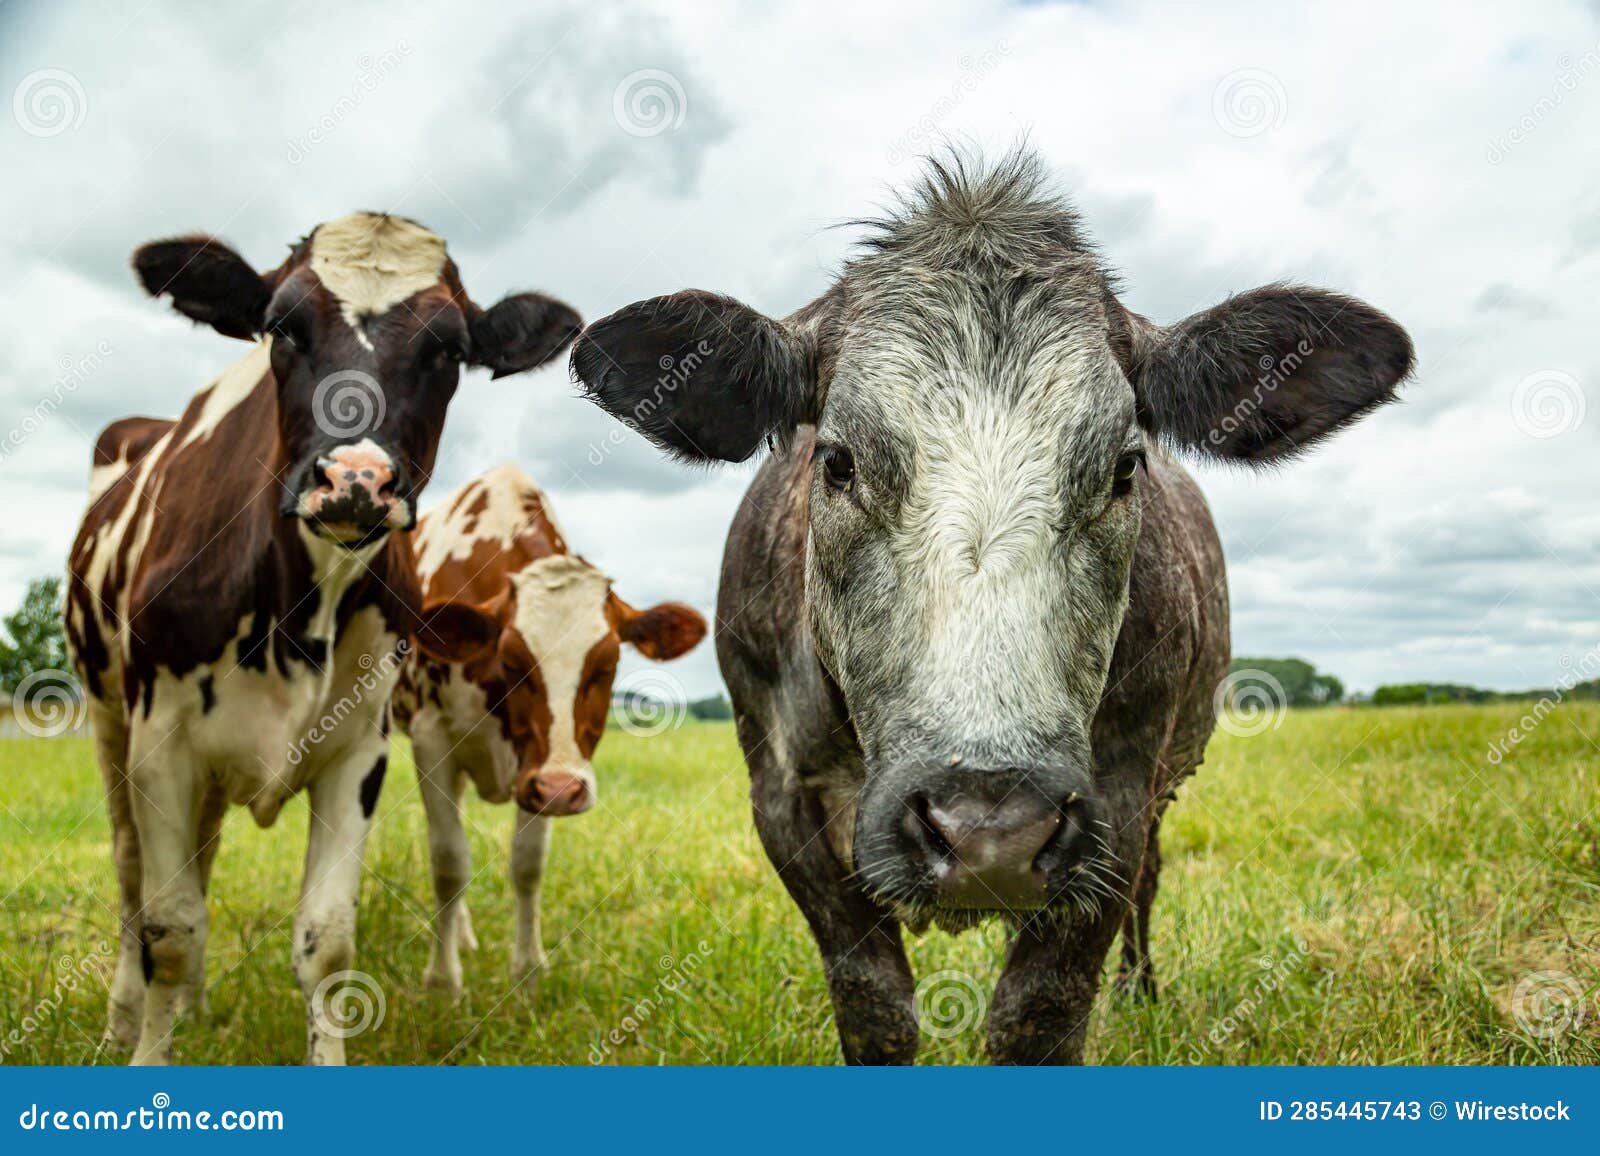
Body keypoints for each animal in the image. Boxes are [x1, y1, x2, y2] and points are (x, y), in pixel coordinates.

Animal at [65, 212, 581, 1065]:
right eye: (282, 325)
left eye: (449, 350)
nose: (355, 480)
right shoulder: (160, 745)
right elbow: (169, 929)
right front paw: (148, 1051)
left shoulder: (359, 750)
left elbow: (327, 941)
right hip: (110, 726)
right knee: (133, 875)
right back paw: (124, 1016)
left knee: (201, 861)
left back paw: (193, 1006)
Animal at [391, 463, 706, 997]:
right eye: (513, 660)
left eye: (606, 665)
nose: (562, 790)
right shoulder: (431, 740)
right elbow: (449, 862)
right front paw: (442, 981)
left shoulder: (535, 770)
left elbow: (527, 863)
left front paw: (527, 972)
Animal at [570, 152, 1414, 1064]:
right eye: (837, 461)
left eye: (1124, 467)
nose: (991, 832)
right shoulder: (780, 794)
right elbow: (875, 1004)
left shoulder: (1119, 796)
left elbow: (1039, 1009)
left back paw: (1140, 991)